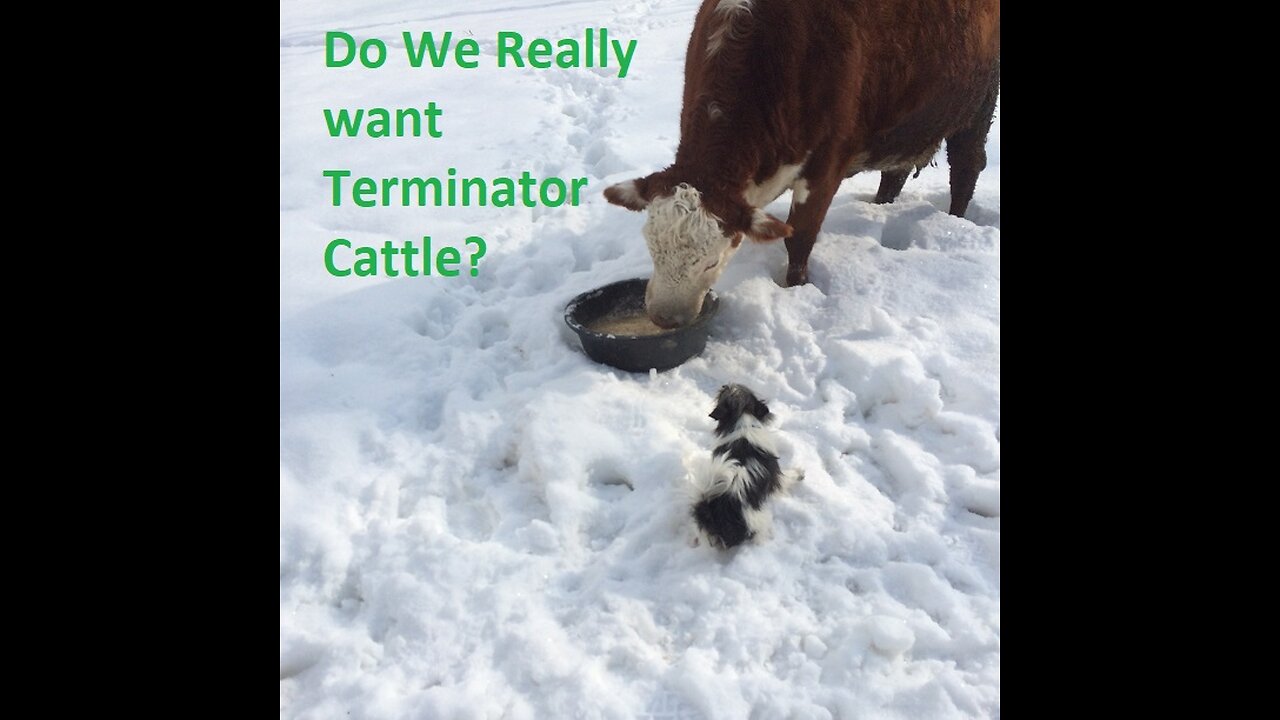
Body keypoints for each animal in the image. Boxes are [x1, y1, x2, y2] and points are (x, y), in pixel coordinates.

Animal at [604, 0, 1001, 328]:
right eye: (651, 249)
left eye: (712, 262)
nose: (664, 318)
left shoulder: (827, 163)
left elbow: (800, 239)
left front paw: (796, 288)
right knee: (895, 173)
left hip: (978, 103)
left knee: (966, 167)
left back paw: (955, 221)